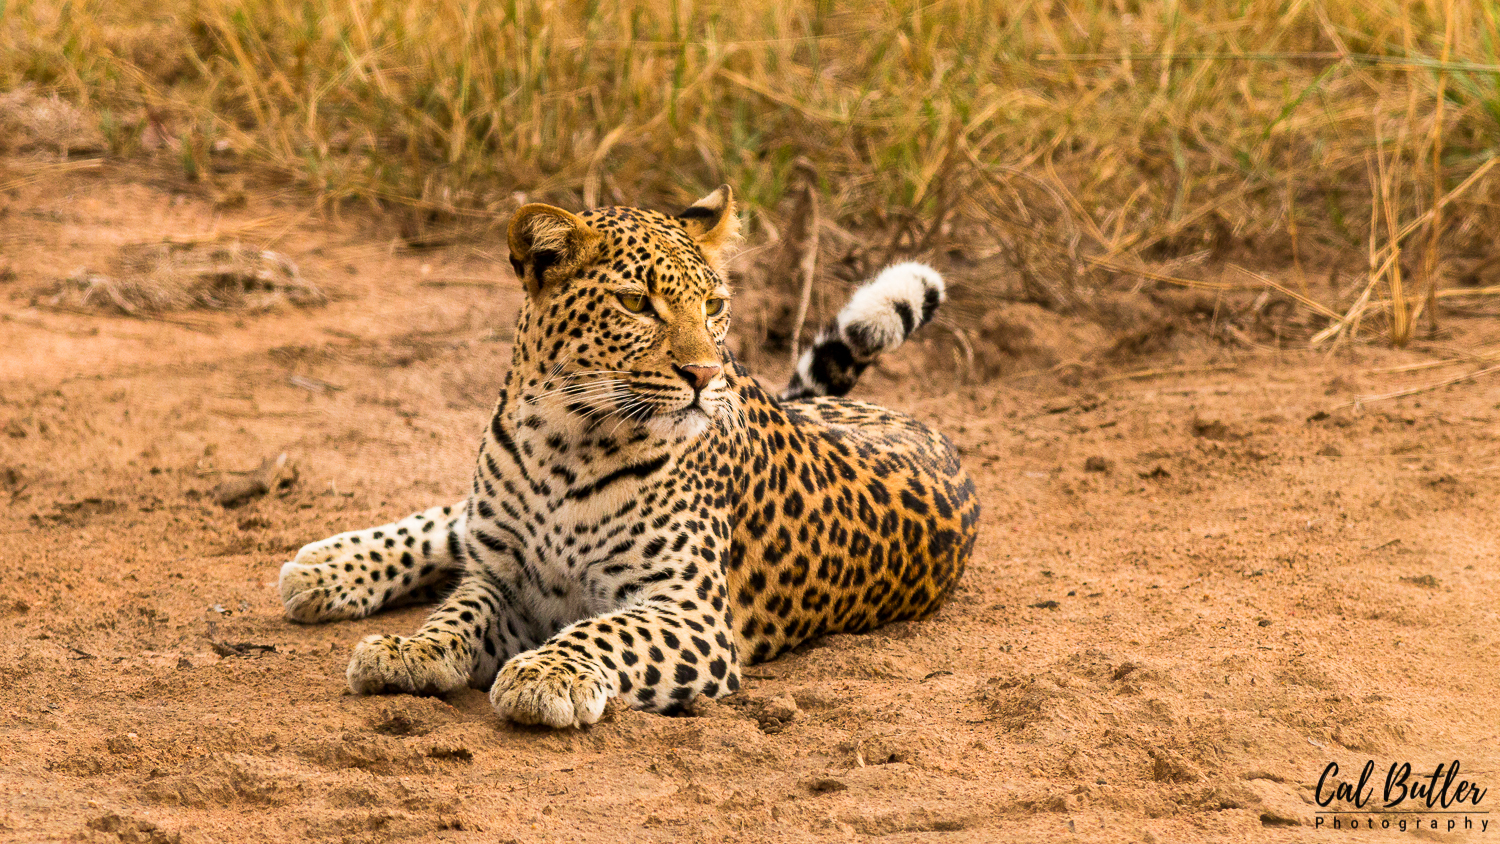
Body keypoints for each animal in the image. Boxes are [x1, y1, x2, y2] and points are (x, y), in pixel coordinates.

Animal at [277, 186, 980, 728]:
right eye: (637, 303)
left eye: (714, 306)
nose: (705, 374)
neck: (562, 442)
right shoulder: (502, 580)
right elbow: (457, 610)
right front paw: (411, 649)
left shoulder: (691, 614)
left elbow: (604, 630)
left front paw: (544, 675)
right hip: (478, 520)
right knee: (447, 522)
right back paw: (324, 567)